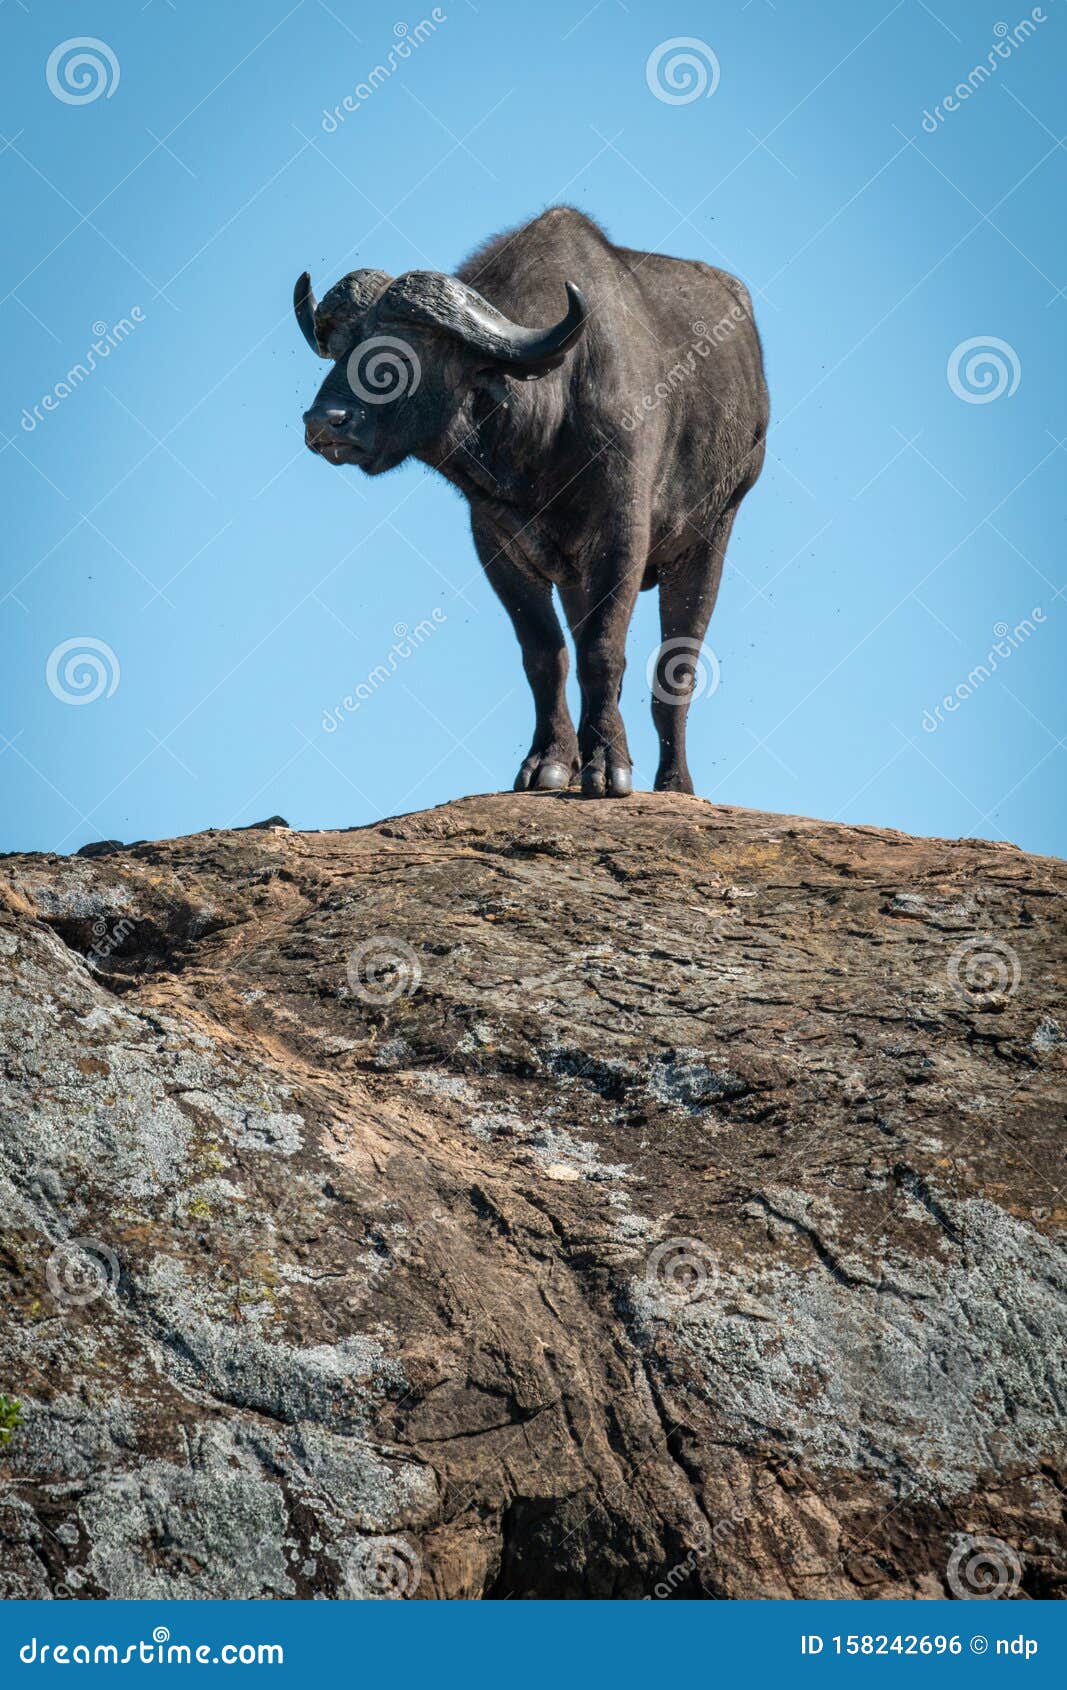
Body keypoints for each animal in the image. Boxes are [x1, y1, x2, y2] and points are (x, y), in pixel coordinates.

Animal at [295, 206, 768, 798]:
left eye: (400, 354)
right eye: (338, 349)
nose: (322, 423)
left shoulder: (622, 533)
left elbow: (603, 650)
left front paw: (607, 766)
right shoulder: (496, 544)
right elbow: (547, 654)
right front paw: (551, 761)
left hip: (711, 534)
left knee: (677, 669)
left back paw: (675, 783)